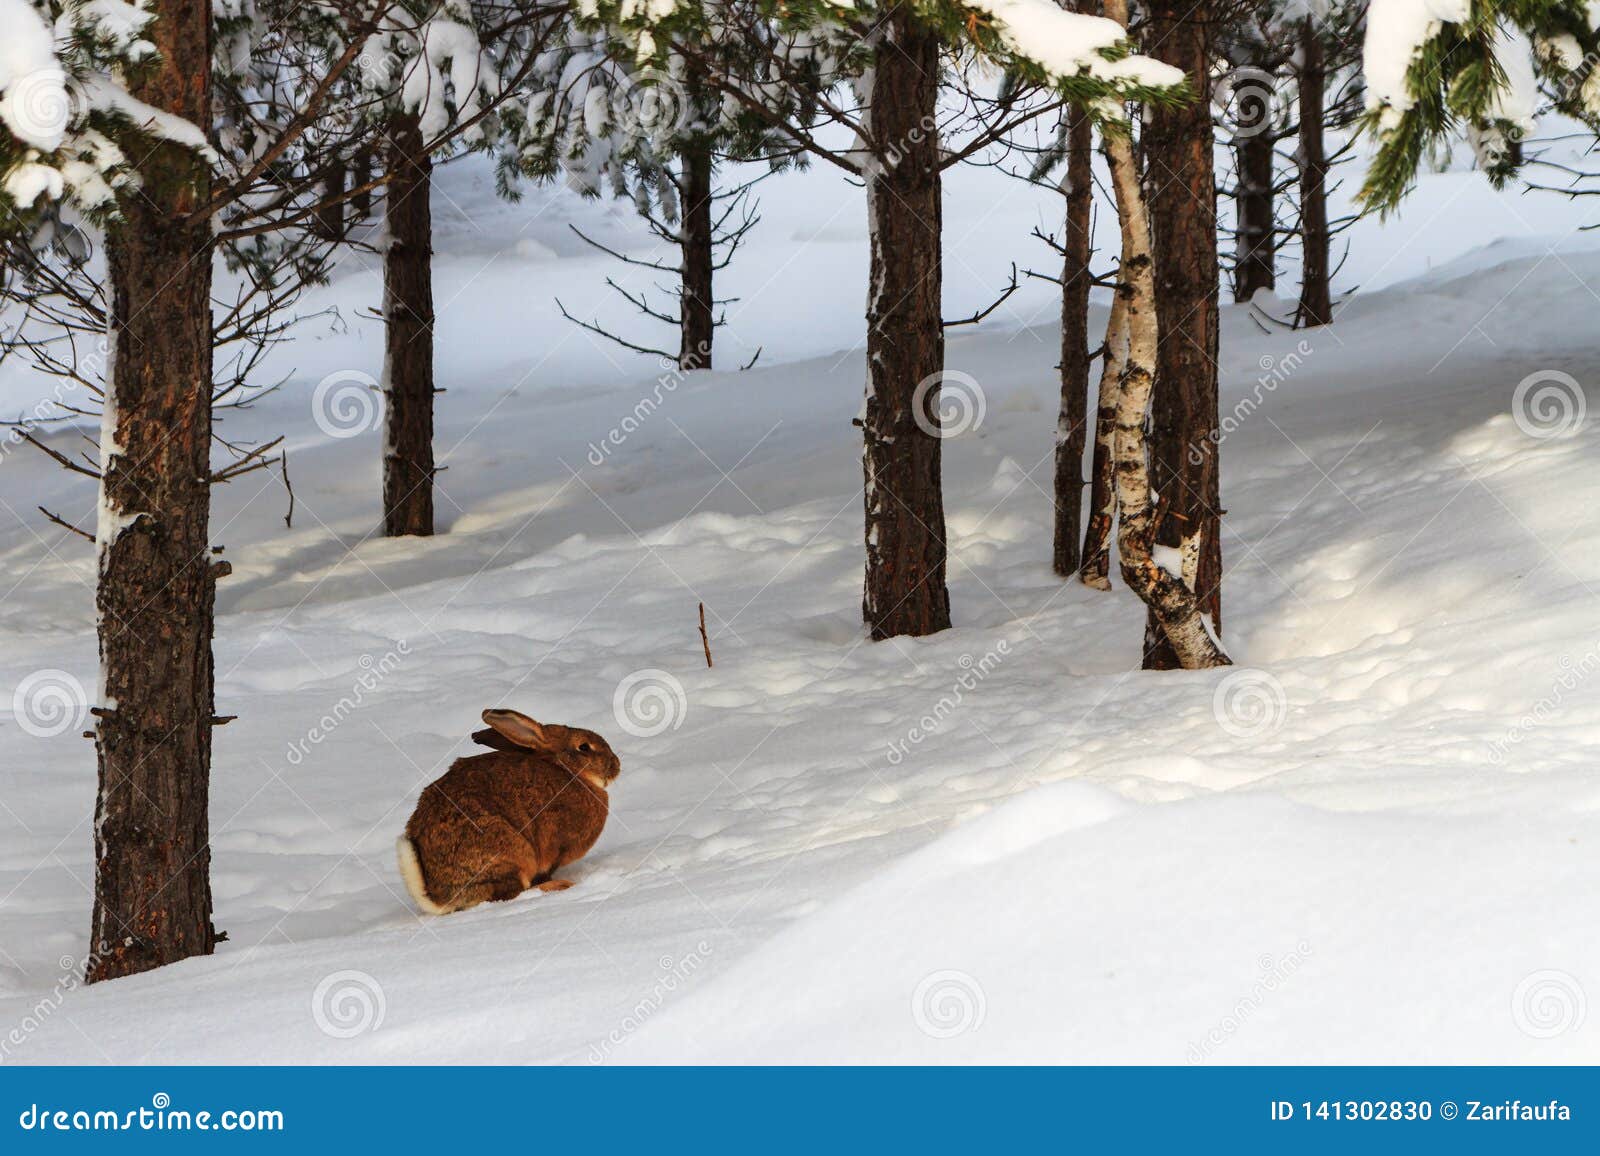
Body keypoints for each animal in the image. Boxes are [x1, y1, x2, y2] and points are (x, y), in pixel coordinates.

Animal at [396, 708, 620, 914]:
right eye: (584, 747)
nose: (616, 765)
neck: (570, 772)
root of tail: (441, 900)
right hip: (512, 854)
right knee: (510, 893)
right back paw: (559, 886)